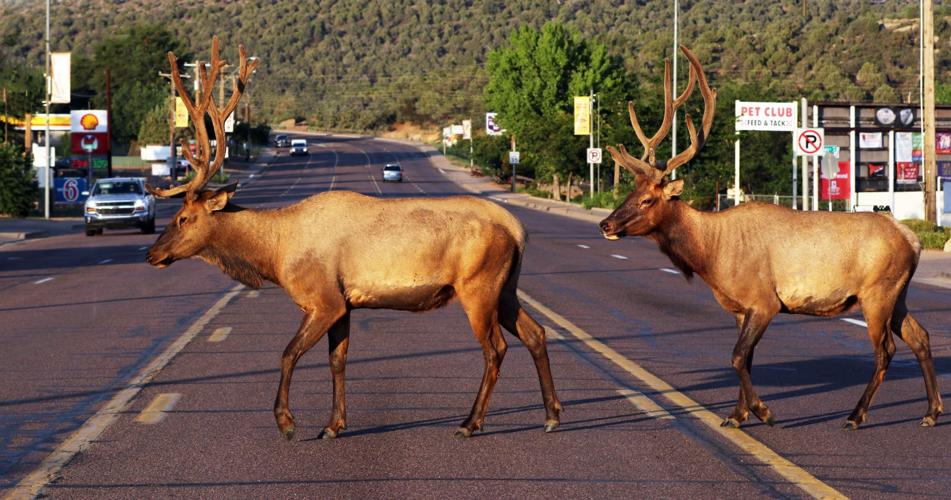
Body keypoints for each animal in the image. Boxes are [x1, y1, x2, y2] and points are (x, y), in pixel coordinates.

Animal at [145, 37, 561, 440]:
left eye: (183, 218)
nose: (151, 253)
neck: (274, 254)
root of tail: (518, 230)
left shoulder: (323, 299)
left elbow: (288, 354)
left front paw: (287, 422)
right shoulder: (345, 304)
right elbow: (337, 360)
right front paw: (333, 424)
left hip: (478, 286)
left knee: (496, 349)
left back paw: (470, 423)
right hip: (506, 288)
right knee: (536, 333)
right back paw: (552, 414)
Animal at [599, 45, 941, 431]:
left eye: (647, 199)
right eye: (629, 192)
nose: (606, 225)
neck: (710, 255)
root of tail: (912, 240)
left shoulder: (764, 301)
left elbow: (736, 356)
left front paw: (762, 411)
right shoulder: (738, 306)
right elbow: (745, 358)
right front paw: (737, 415)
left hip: (877, 293)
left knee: (886, 351)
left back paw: (856, 415)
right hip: (898, 294)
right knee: (921, 336)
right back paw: (931, 411)